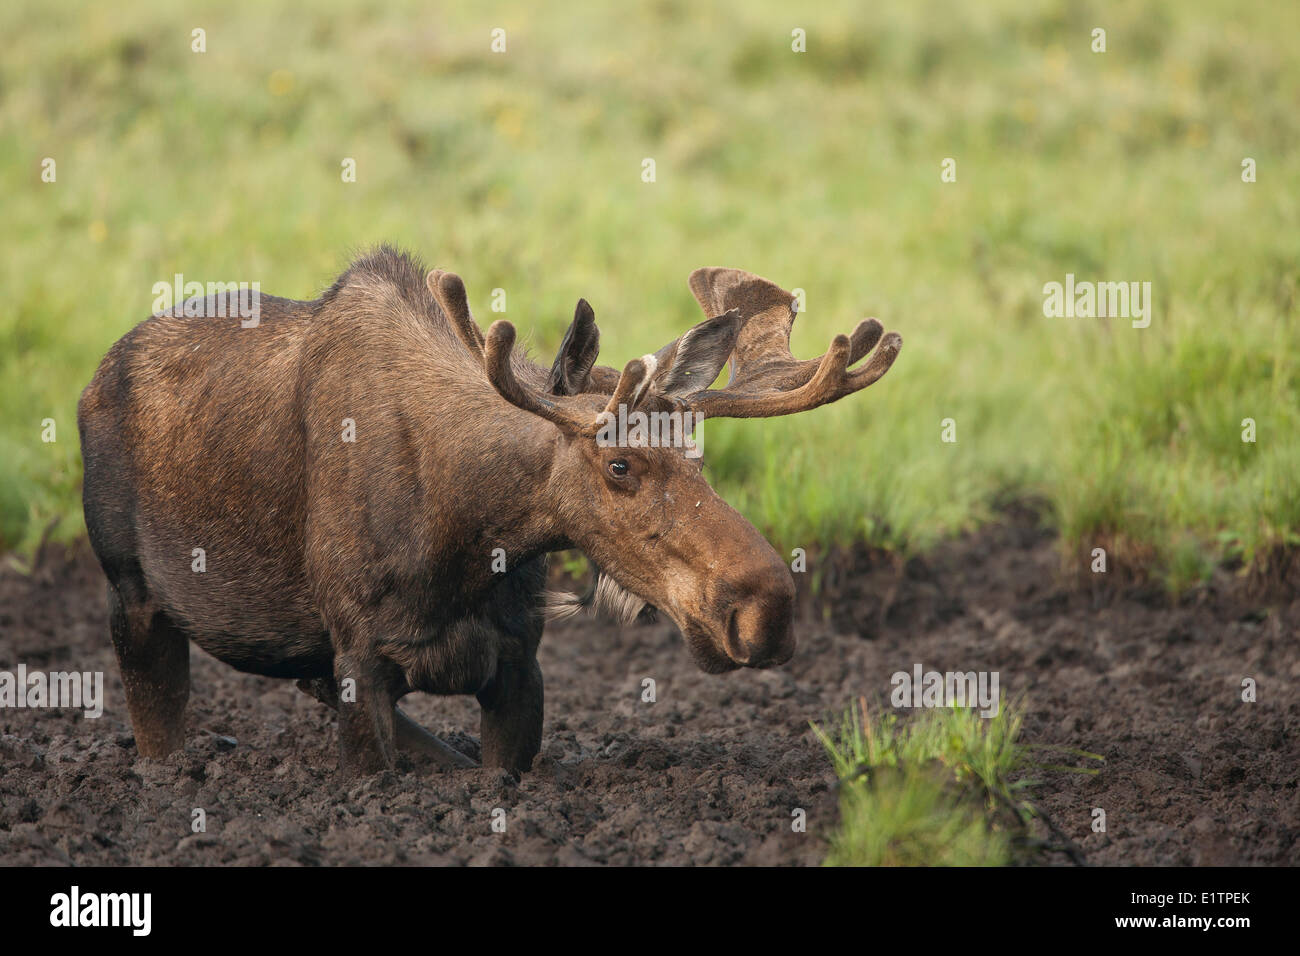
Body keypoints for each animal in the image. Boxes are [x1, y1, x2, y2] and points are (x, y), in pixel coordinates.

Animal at [77, 248, 901, 776]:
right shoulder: (359, 659)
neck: (462, 538)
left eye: (699, 458)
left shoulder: (517, 661)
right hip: (132, 592)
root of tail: (96, 373)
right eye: (620, 465)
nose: (765, 610)